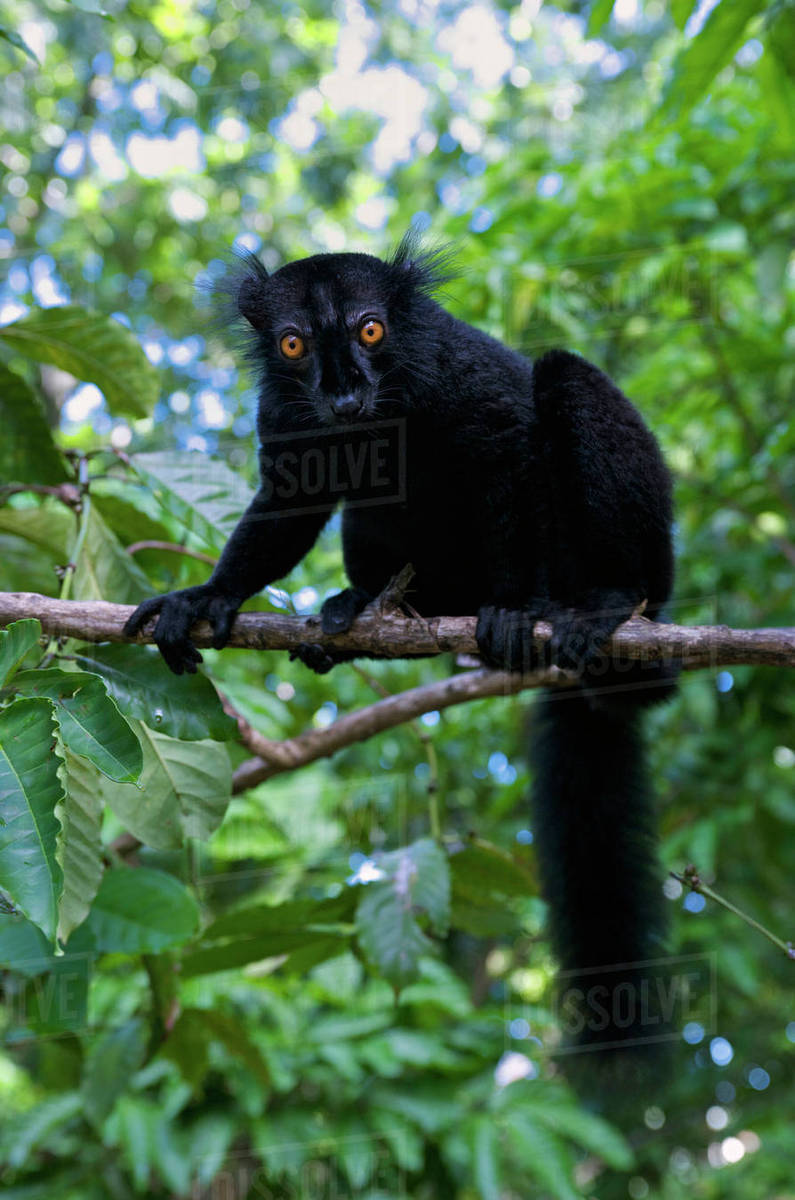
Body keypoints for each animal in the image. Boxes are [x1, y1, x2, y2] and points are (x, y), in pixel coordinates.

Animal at [125, 234, 679, 1091]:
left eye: (371, 330)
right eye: (292, 344)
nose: (345, 397)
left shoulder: (459, 376)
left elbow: (512, 454)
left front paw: (514, 609)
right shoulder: (284, 407)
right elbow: (295, 493)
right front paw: (209, 597)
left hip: (639, 558)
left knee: (562, 379)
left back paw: (597, 605)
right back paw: (356, 611)